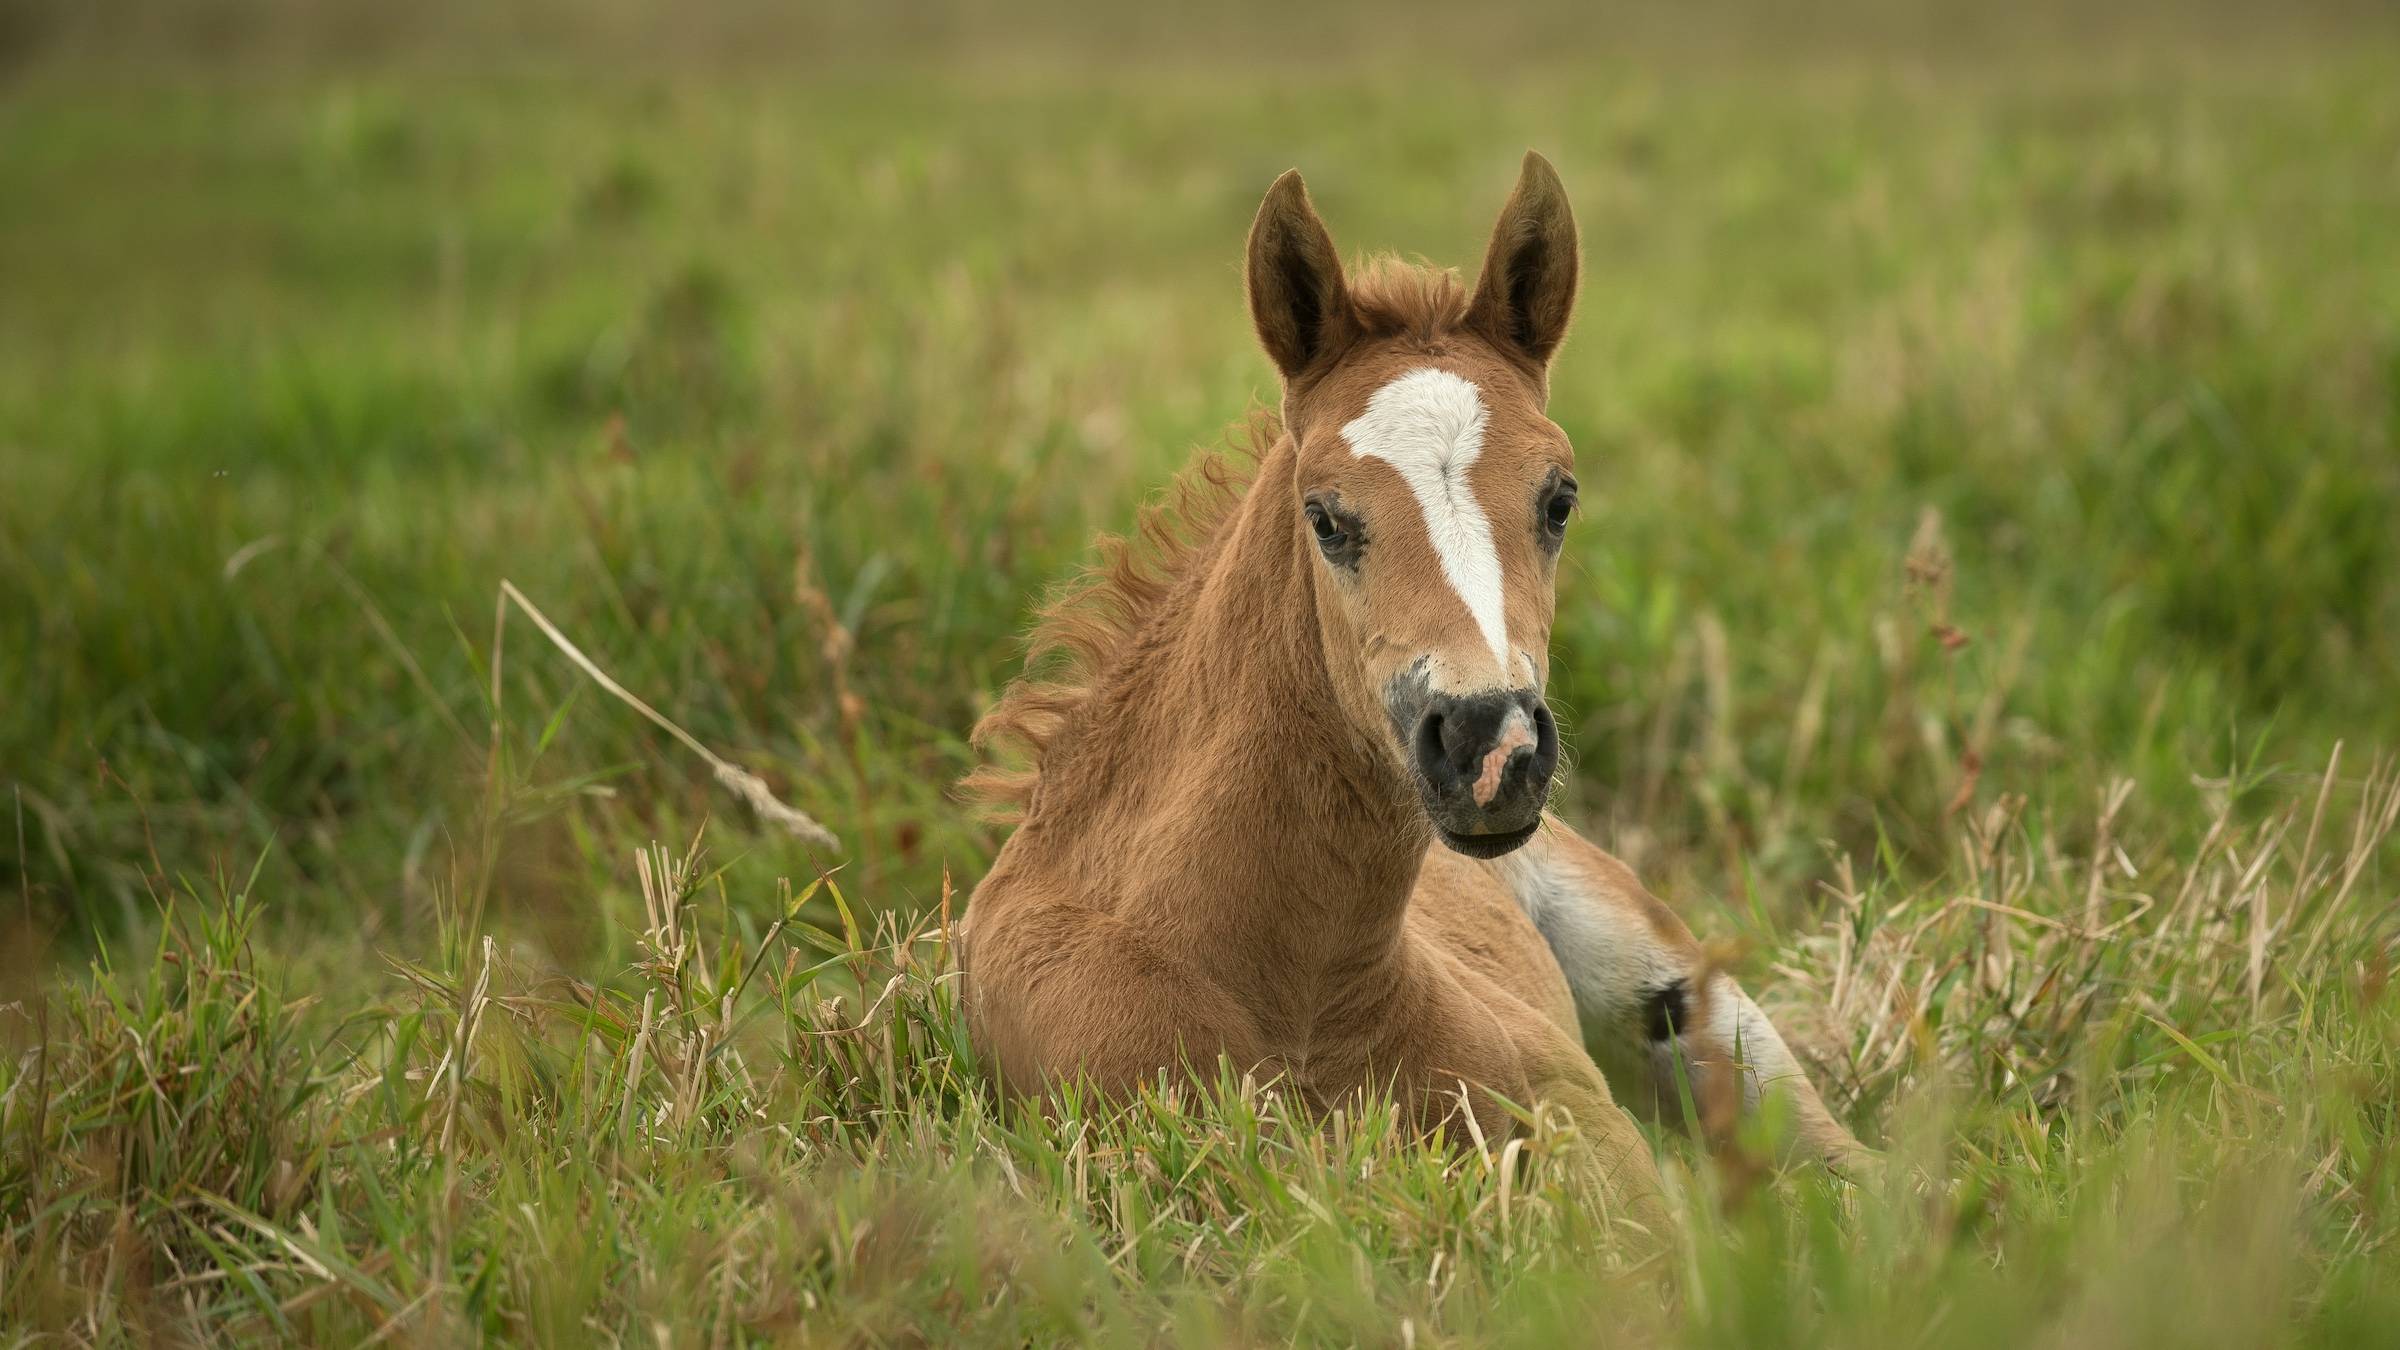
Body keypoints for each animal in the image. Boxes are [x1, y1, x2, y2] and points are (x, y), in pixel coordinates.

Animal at [959, 152, 1867, 1237]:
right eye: (1327, 517)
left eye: (1560, 499)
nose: (1492, 748)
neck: (1291, 991)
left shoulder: (1572, 1106)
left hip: (1684, 1001)